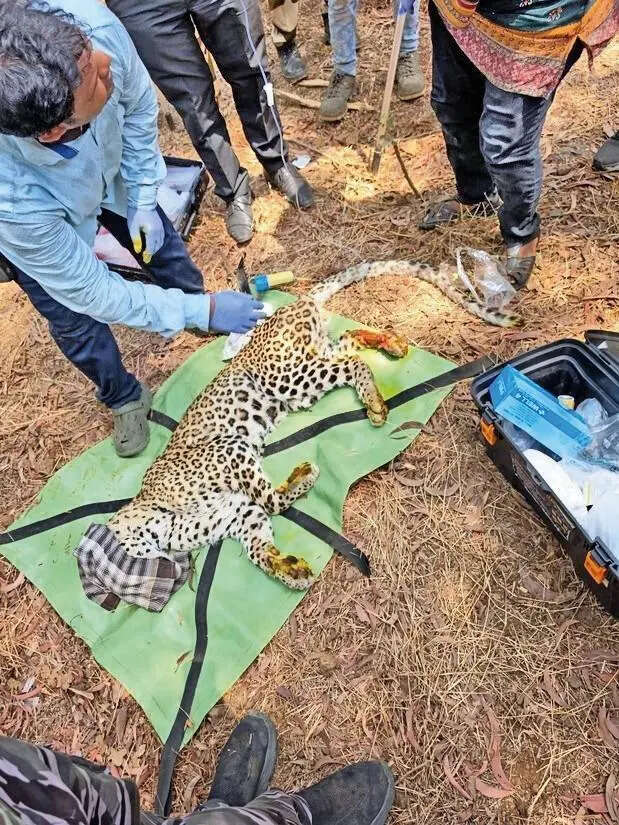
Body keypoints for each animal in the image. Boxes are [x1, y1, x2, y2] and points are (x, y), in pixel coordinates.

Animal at [107, 259, 518, 591]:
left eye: (125, 554)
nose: (164, 568)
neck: (160, 519)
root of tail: (292, 304)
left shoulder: (228, 449)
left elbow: (271, 498)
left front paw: (304, 474)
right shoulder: (240, 515)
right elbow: (260, 540)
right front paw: (289, 569)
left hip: (288, 378)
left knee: (352, 364)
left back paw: (375, 401)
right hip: (308, 368)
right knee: (349, 342)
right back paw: (392, 345)